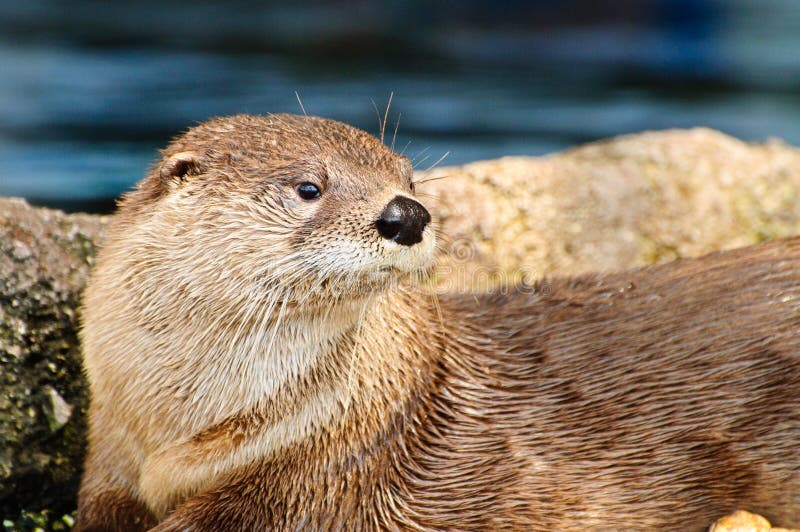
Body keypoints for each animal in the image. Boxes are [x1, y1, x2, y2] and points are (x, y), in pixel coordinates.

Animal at [76, 114, 800, 531]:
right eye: (309, 186)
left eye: (410, 177)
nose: (407, 214)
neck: (176, 424)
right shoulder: (111, 454)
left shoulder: (313, 482)